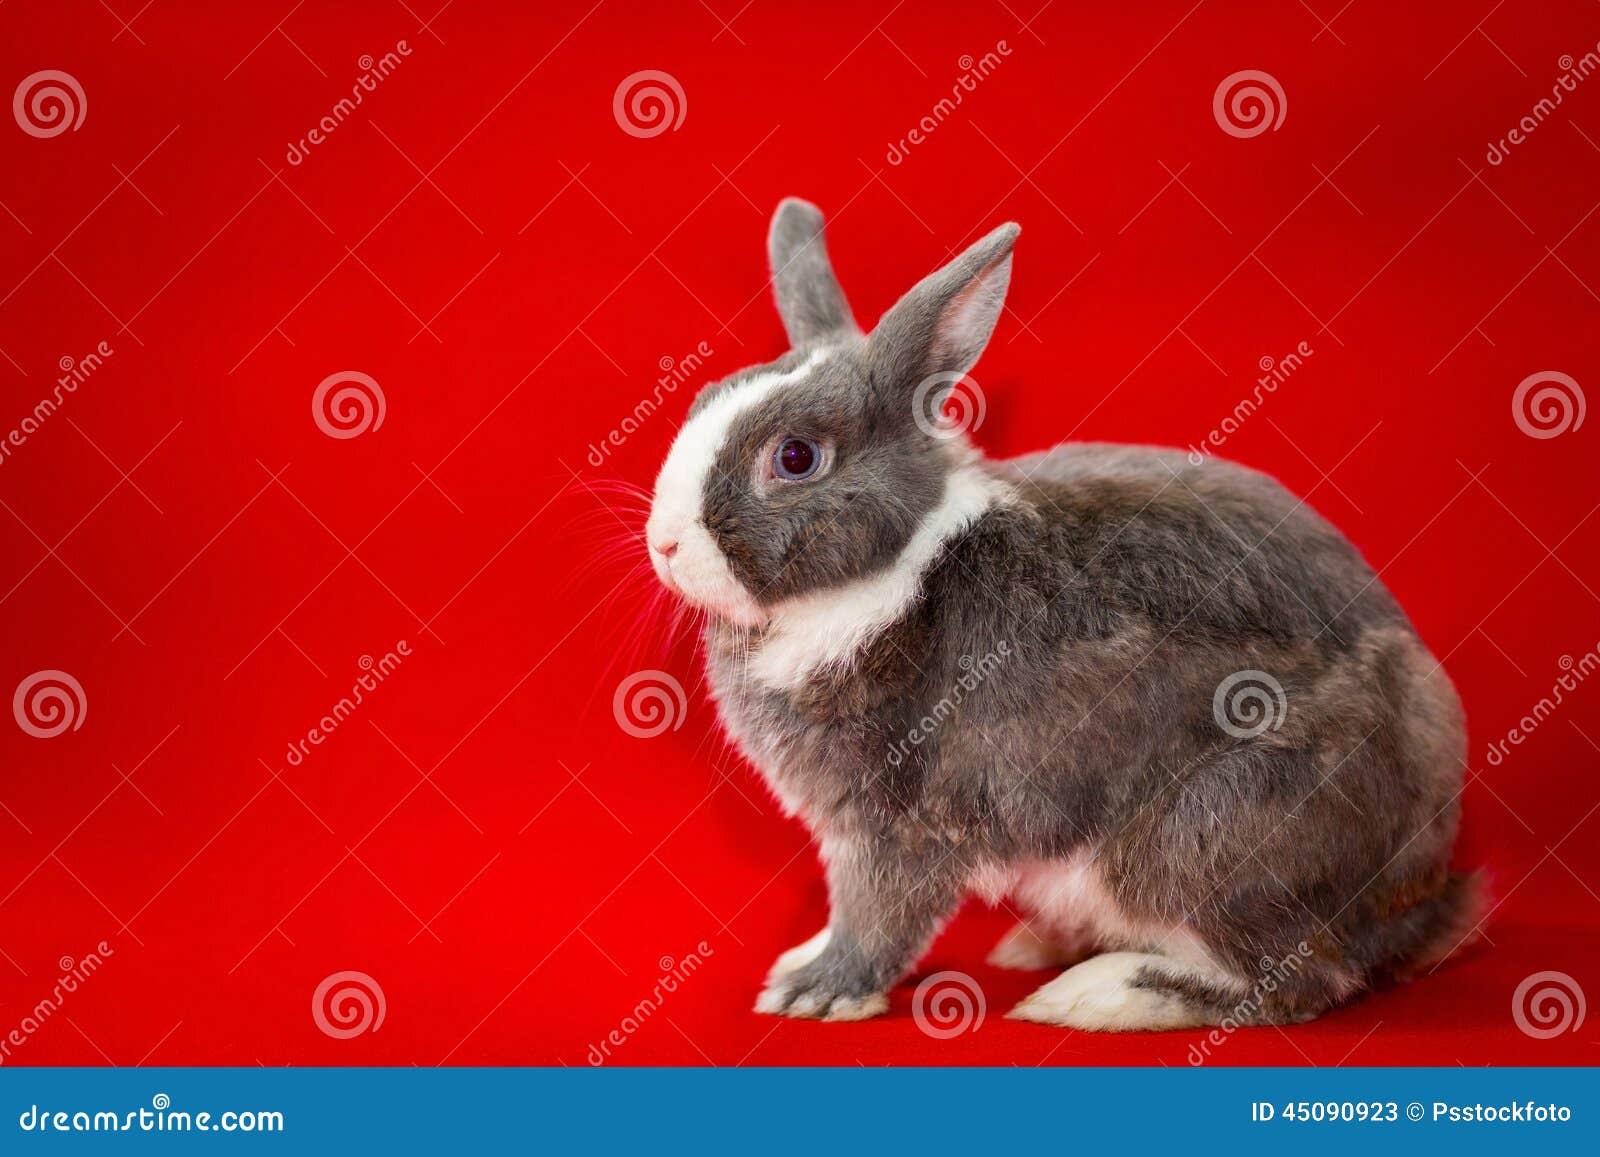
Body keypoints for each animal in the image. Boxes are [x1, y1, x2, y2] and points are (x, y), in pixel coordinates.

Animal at [642, 197, 1478, 1030]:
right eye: (703, 400)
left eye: (795, 457)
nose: (665, 543)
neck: (889, 572)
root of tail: (1424, 889)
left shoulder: (894, 824)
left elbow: (877, 913)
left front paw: (811, 988)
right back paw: (1044, 943)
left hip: (1208, 831)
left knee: (1298, 976)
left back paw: (1097, 991)